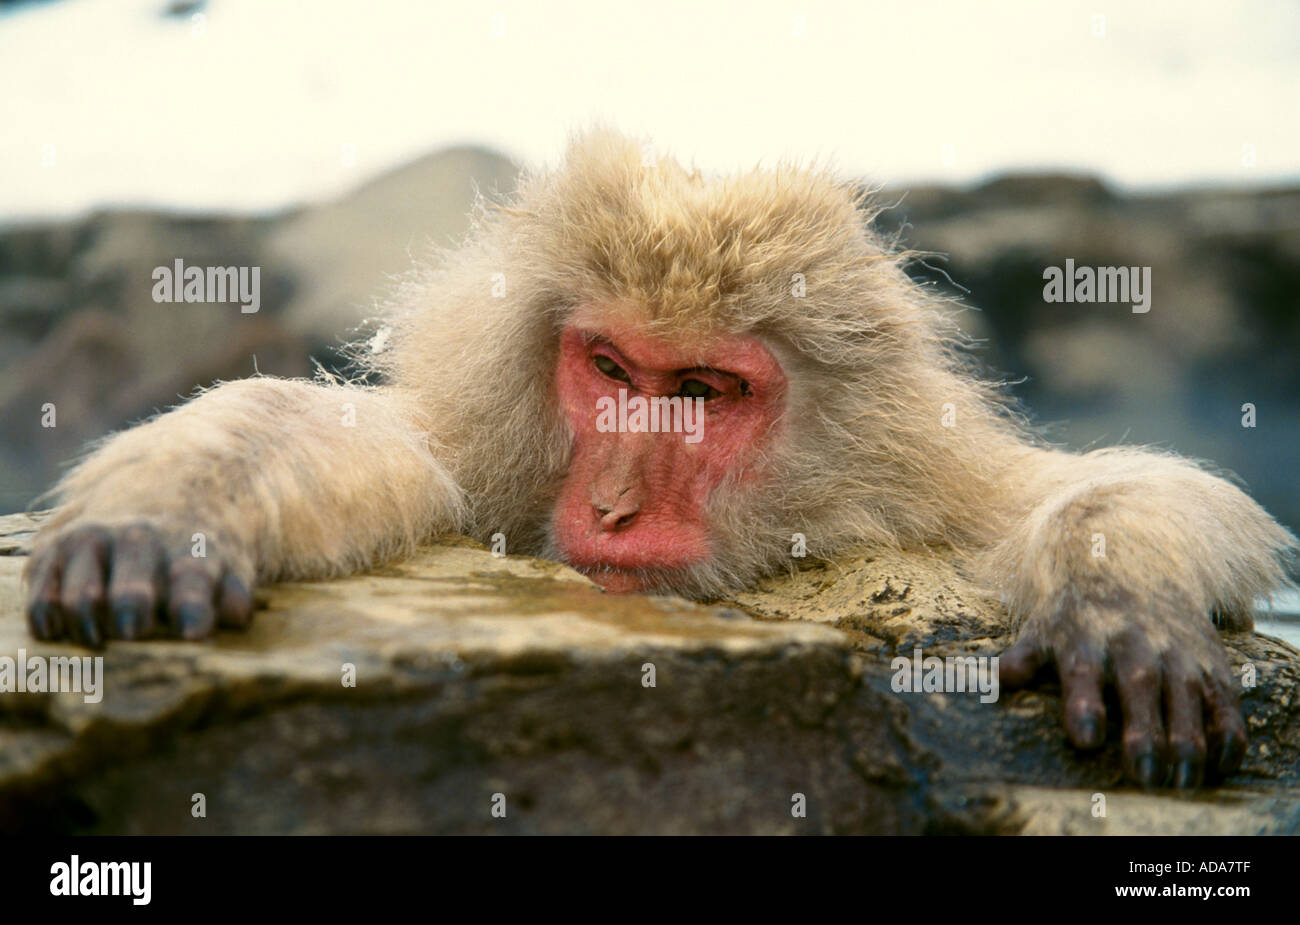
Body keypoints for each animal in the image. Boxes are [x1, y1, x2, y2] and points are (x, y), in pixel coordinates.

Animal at [22, 129, 1297, 791]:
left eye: (698, 393)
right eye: (611, 369)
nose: (615, 505)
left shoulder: (931, 489)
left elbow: (1120, 491)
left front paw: (1121, 605)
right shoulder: (491, 454)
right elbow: (364, 444)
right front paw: (171, 507)